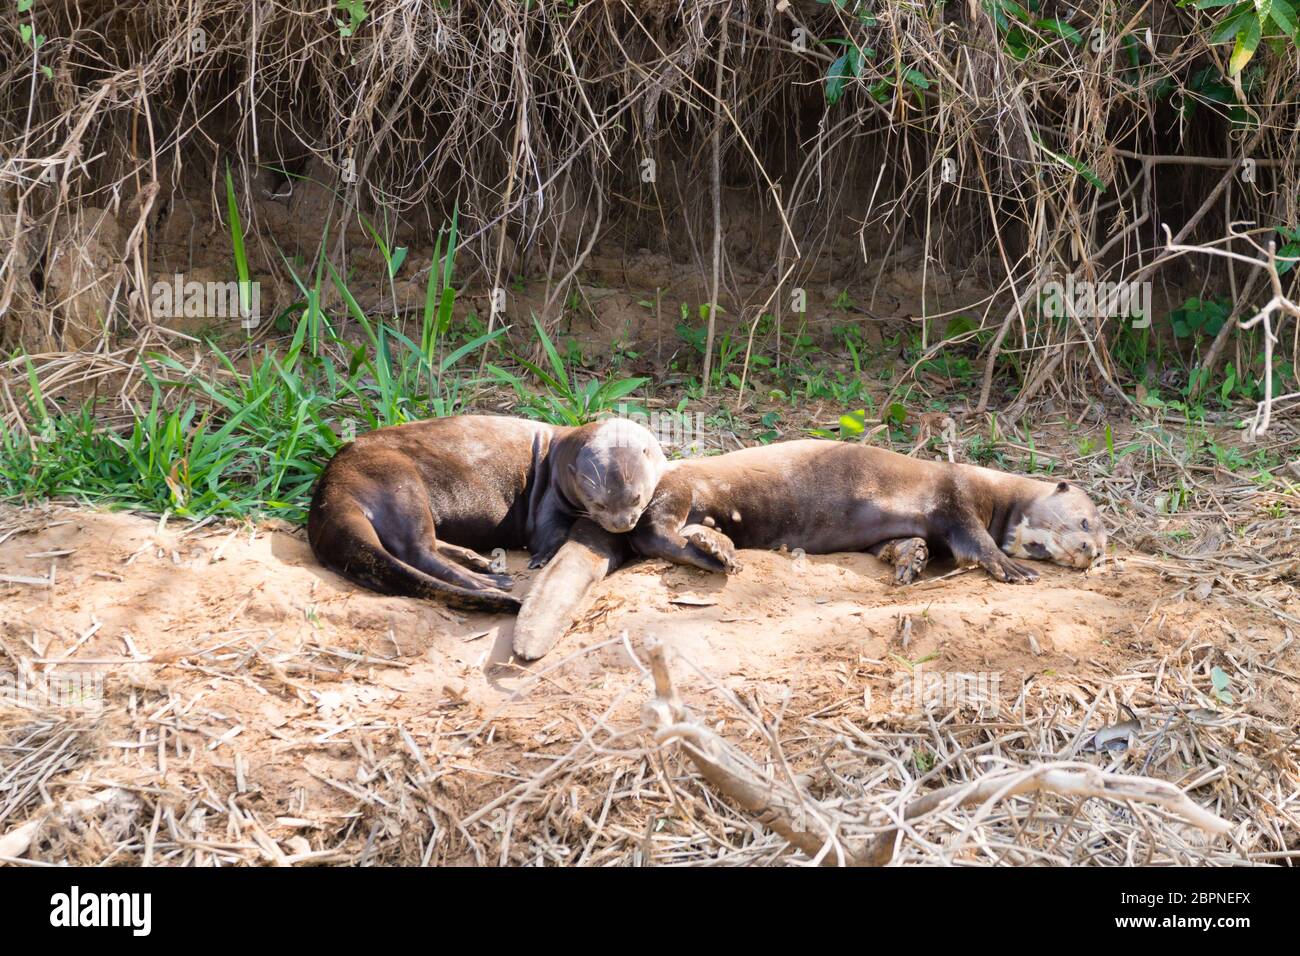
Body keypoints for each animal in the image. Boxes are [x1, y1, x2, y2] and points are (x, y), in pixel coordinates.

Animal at [308, 415, 665, 613]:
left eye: (636, 497)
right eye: (598, 504)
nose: (621, 524)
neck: (561, 452)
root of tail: (330, 486)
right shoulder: (552, 490)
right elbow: (547, 529)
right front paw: (541, 558)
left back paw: (479, 561)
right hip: (398, 482)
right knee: (416, 550)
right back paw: (490, 581)